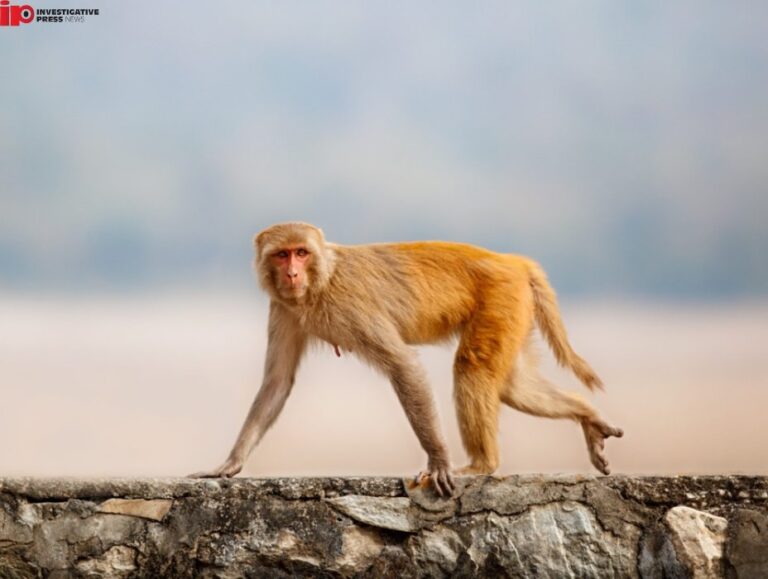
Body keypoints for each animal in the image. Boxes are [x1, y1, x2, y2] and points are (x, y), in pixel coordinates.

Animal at [191, 222, 623, 496]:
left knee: (473, 367)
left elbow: (403, 365)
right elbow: (278, 382)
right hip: (513, 307)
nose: (293, 273)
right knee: (512, 386)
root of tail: (513, 261)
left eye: (301, 252)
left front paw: (439, 461)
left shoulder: (348, 306)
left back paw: (481, 464)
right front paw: (230, 463)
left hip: (501, 296)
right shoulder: (283, 309)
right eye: (282, 255)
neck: (320, 282)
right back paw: (587, 415)